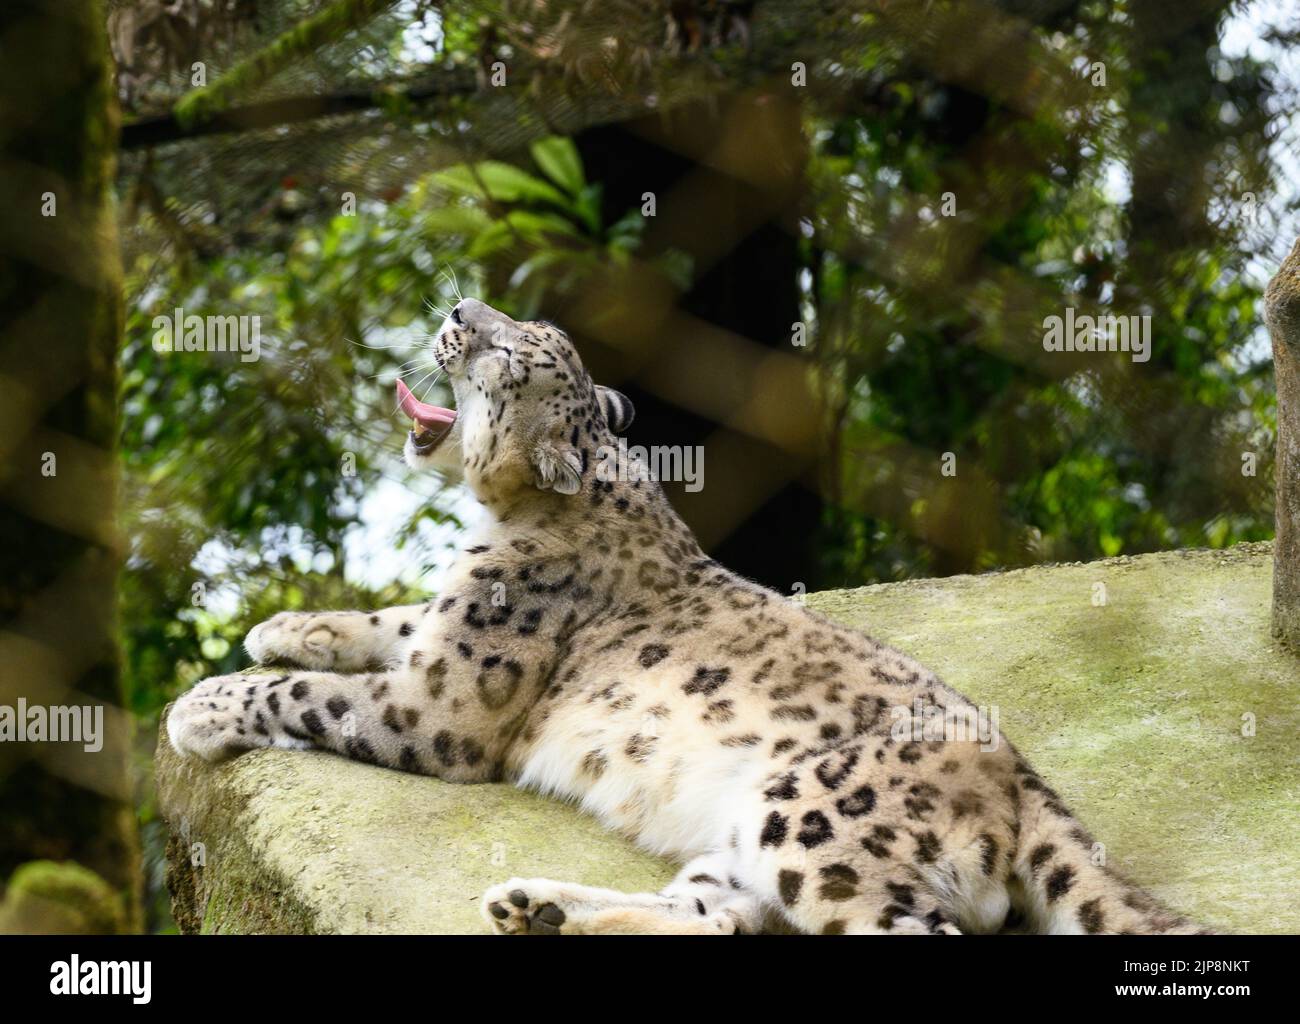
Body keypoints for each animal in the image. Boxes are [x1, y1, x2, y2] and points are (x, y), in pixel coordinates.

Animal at [168, 297, 1204, 935]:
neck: (498, 514)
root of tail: (1019, 772)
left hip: (812, 820)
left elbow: (312, 697)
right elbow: (394, 617)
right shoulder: (438, 631)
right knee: (718, 918)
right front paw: (285, 626)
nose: (462, 310)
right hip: (747, 842)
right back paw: (541, 909)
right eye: (517, 324)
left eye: (506, 353)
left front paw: (203, 704)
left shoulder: (440, 709)